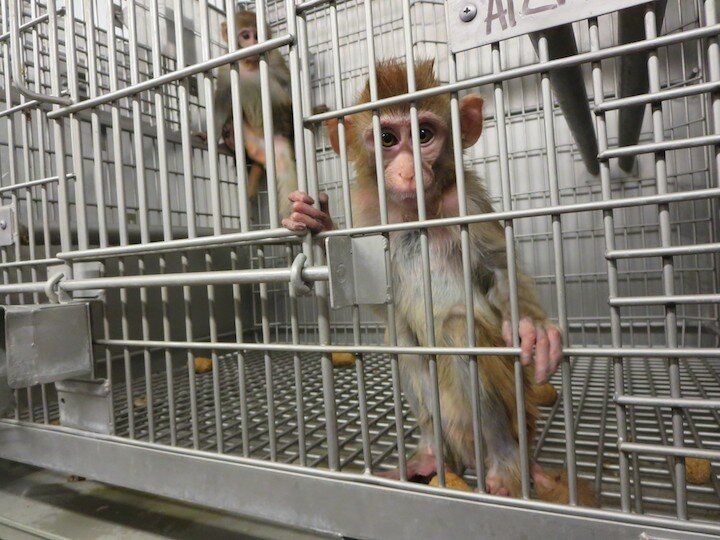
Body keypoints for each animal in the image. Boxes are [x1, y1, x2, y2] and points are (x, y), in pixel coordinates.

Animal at [197, 9, 296, 218]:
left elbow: (288, 86)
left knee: (284, 166)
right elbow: (223, 100)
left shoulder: (274, 59)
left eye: (257, 35)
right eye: (245, 35)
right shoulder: (226, 68)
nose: (253, 43)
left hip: (276, 141)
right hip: (246, 134)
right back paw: (230, 139)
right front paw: (210, 135)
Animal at [283, 59, 597, 506]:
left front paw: (534, 327)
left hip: (514, 405)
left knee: (457, 331)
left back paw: (505, 463)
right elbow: (373, 300)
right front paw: (314, 221)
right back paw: (432, 455)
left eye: (424, 135)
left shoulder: (467, 202)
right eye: (387, 138)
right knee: (403, 338)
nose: (409, 168)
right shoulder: (368, 213)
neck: (417, 212)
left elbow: (499, 271)